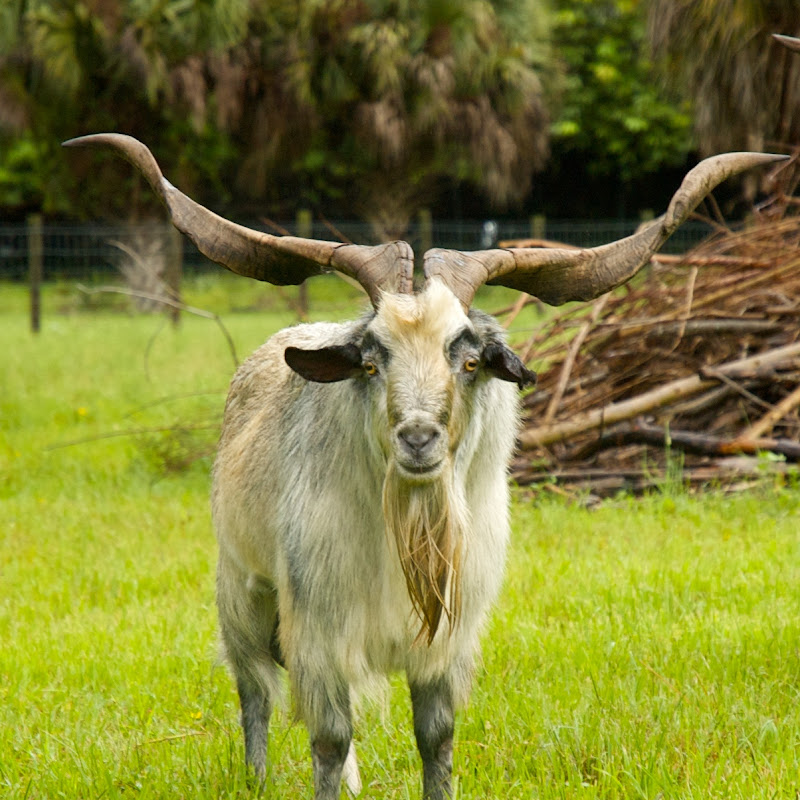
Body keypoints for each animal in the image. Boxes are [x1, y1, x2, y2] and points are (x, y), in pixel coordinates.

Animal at [65, 133, 782, 799]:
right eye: (370, 360)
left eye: (467, 359)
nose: (417, 438)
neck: (403, 528)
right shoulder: (319, 626)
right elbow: (328, 737)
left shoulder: (447, 640)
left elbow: (435, 737)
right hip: (243, 591)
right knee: (256, 695)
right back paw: (256, 780)